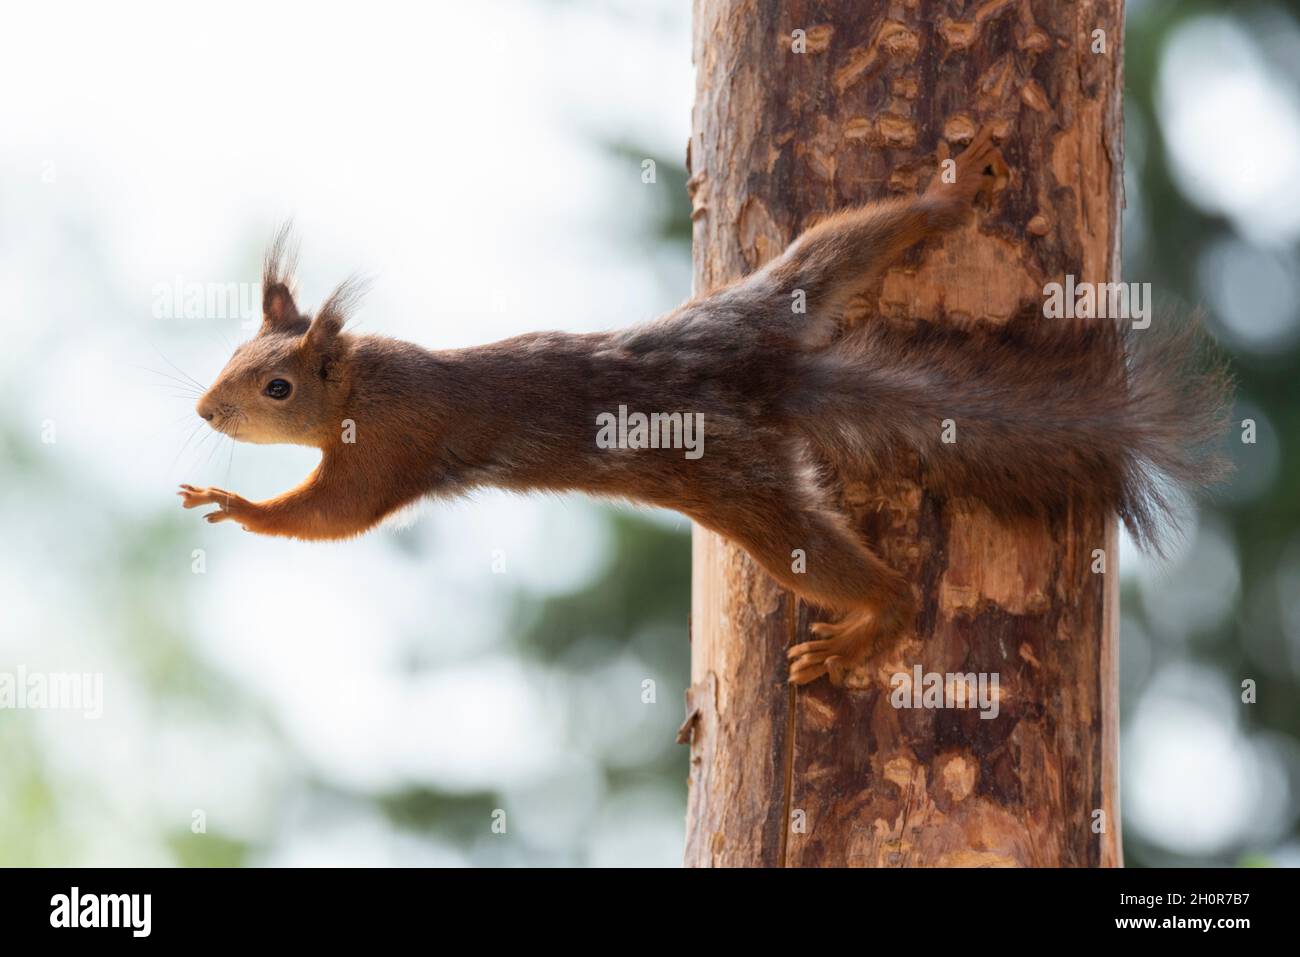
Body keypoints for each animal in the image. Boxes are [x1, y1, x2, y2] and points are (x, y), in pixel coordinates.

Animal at [179, 126, 1231, 685]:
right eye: (231, 351)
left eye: (275, 386)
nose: (203, 411)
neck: (366, 377)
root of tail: (769, 382)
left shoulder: (385, 451)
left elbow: (330, 516)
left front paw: (233, 505)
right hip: (781, 290)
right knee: (849, 242)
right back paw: (943, 198)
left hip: (746, 496)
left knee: (856, 574)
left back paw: (871, 624)